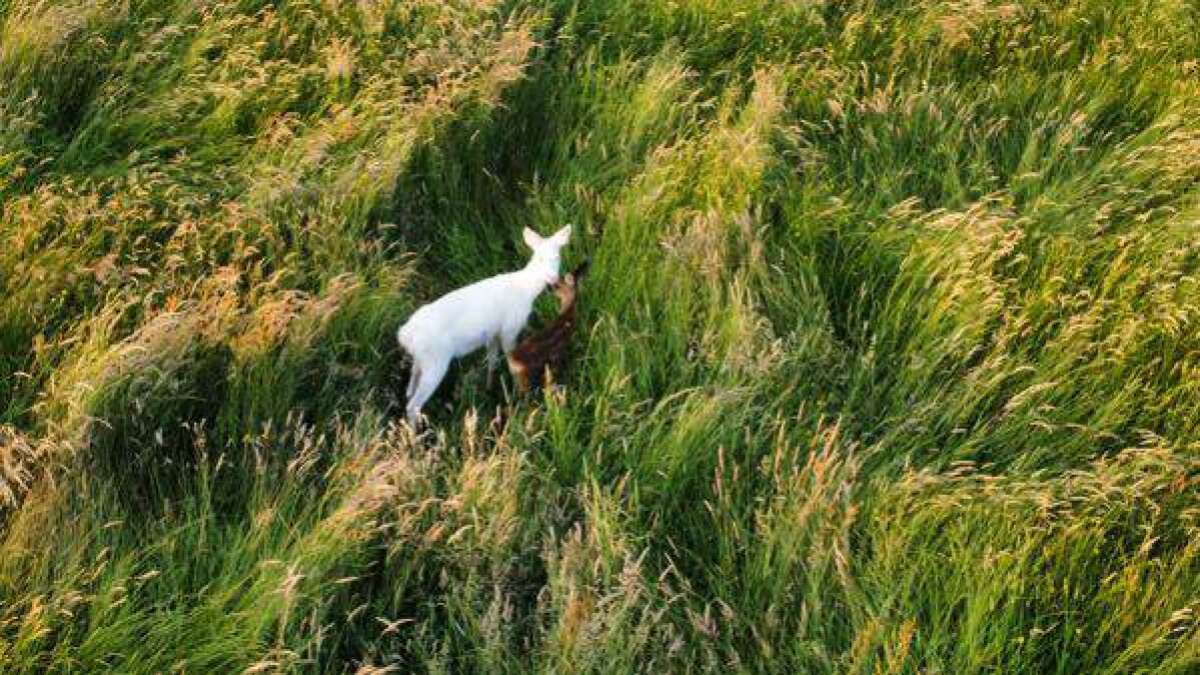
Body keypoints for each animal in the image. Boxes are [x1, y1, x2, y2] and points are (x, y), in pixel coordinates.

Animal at [397, 225, 572, 427]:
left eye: (557, 256)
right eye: (539, 257)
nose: (552, 278)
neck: (526, 291)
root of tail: (405, 335)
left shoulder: (493, 332)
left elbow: (492, 361)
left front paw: (489, 388)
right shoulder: (510, 327)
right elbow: (511, 361)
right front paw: (516, 393)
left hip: (420, 360)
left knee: (409, 390)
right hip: (435, 360)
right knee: (413, 404)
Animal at [506, 260, 589, 394]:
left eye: (558, 285)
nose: (549, 288)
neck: (566, 319)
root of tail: (513, 361)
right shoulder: (558, 355)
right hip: (525, 379)